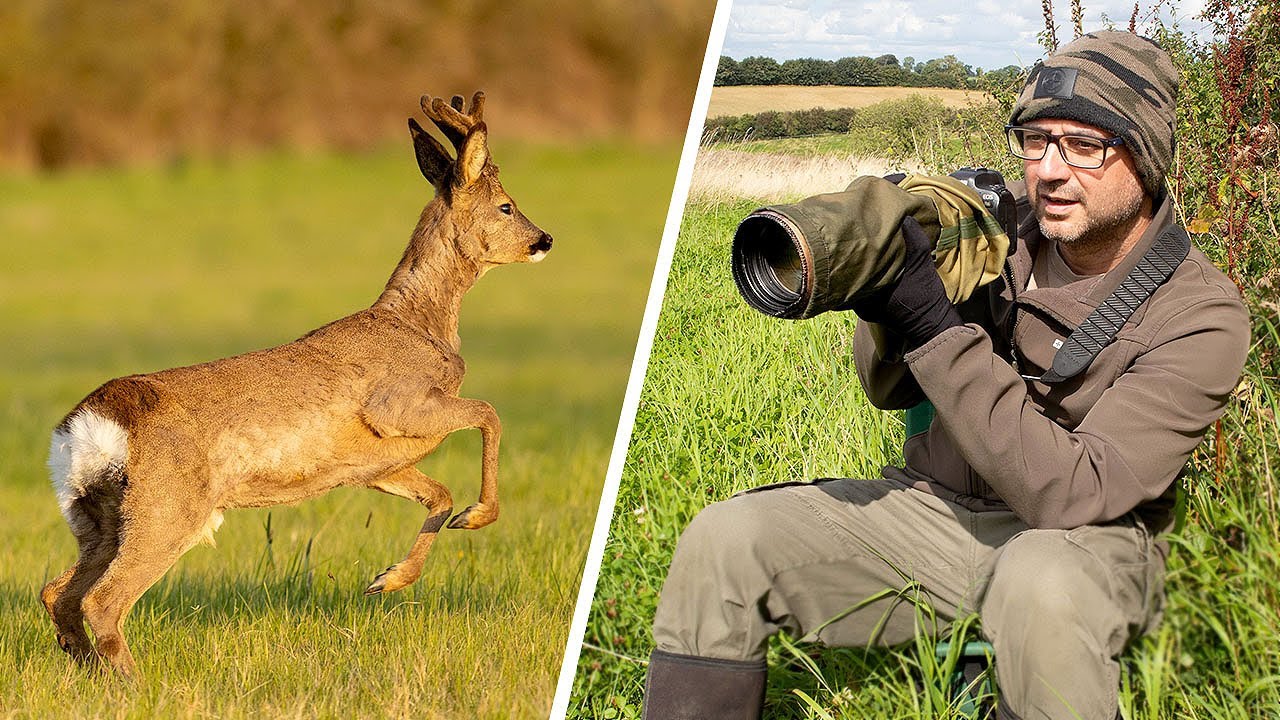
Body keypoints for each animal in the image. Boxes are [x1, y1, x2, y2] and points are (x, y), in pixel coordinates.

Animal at [40, 91, 552, 678]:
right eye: (507, 206)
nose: (545, 239)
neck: (421, 324)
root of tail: (86, 425)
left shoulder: (373, 465)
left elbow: (439, 495)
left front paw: (387, 579)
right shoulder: (397, 406)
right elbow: (490, 412)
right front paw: (476, 517)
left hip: (96, 515)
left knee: (59, 592)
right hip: (168, 507)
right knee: (102, 600)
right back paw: (136, 684)